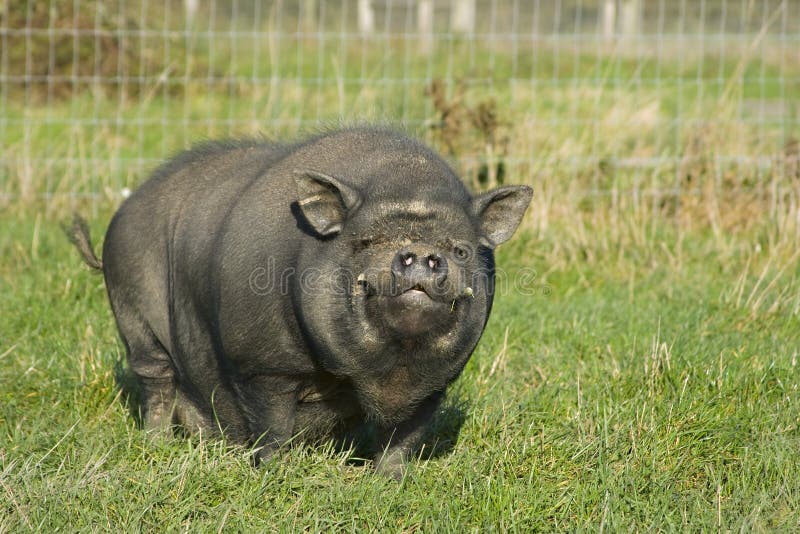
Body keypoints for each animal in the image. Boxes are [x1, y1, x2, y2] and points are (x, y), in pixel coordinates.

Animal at [67, 127, 532, 479]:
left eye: (460, 249)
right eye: (366, 242)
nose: (420, 253)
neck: (388, 373)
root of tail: (123, 212)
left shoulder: (435, 383)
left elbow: (406, 434)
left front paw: (391, 481)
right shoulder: (263, 363)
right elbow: (272, 425)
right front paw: (273, 474)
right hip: (134, 313)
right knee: (156, 379)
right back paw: (157, 445)